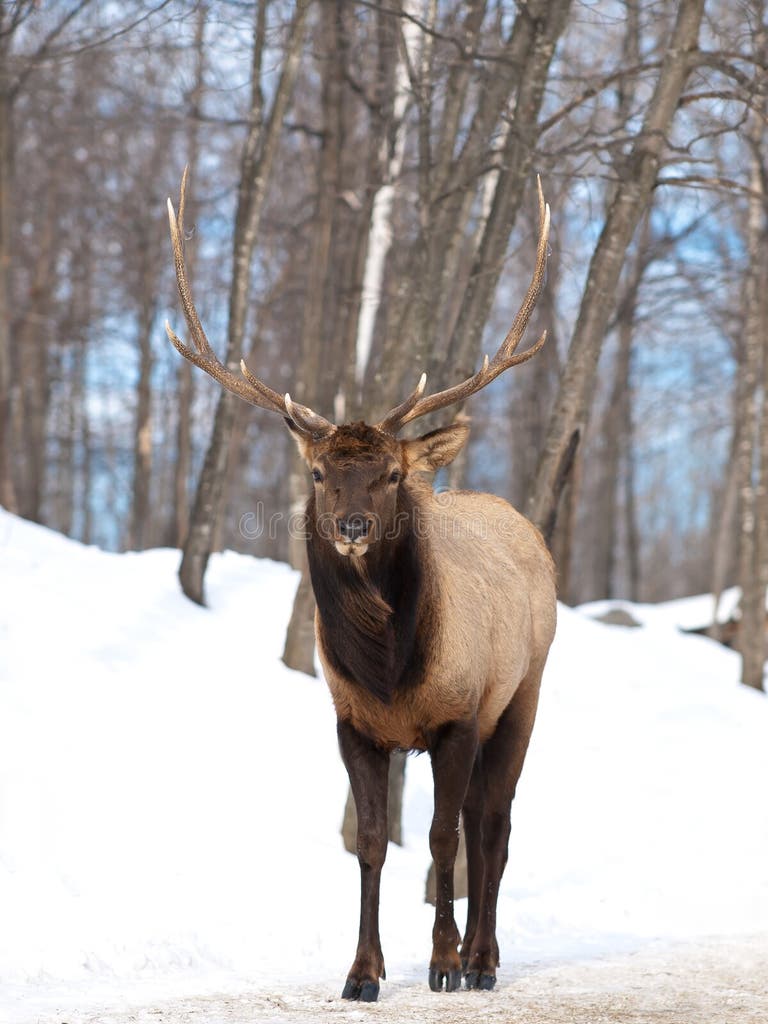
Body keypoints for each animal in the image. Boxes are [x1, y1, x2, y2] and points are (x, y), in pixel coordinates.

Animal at [165, 169, 556, 1002]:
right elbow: (372, 842)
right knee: (484, 827)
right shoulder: (353, 724)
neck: (390, 670)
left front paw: (442, 963)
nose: (350, 524)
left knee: (495, 826)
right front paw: (362, 972)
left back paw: (482, 960)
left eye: (390, 474)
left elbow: (442, 837)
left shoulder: (458, 715)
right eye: (319, 472)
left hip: (524, 692)